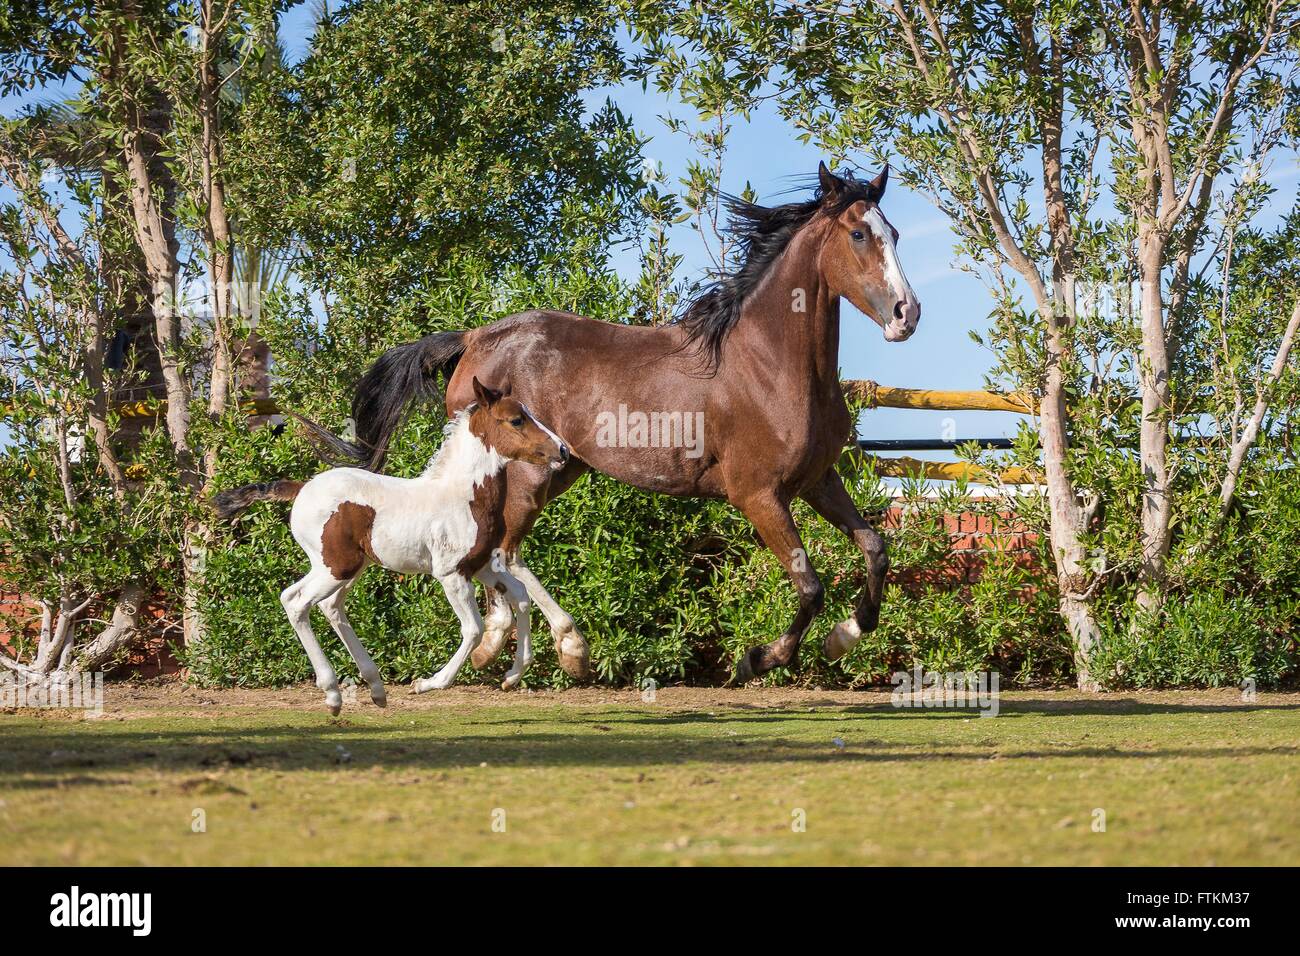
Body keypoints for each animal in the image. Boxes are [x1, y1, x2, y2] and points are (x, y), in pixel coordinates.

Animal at [211, 378, 569, 713]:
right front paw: (427, 684)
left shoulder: (480, 566)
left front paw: (513, 675)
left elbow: (521, 598)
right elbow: (474, 629)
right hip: (334, 566)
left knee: (331, 607)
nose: (563, 451)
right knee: (295, 601)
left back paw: (376, 688)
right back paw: (333, 694)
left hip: (351, 568)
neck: (464, 496)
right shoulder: (451, 575)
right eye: (516, 420)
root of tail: (302, 488)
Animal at [306, 162, 920, 685]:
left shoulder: (817, 481)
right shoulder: (759, 495)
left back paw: (510, 645)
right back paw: (555, 647)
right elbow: (810, 585)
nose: (906, 315)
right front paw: (757, 660)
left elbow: (875, 548)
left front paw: (845, 636)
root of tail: (474, 338)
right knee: (504, 551)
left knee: (501, 553)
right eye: (859, 234)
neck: (769, 366)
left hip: (561, 467)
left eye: (894, 232)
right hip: (524, 474)